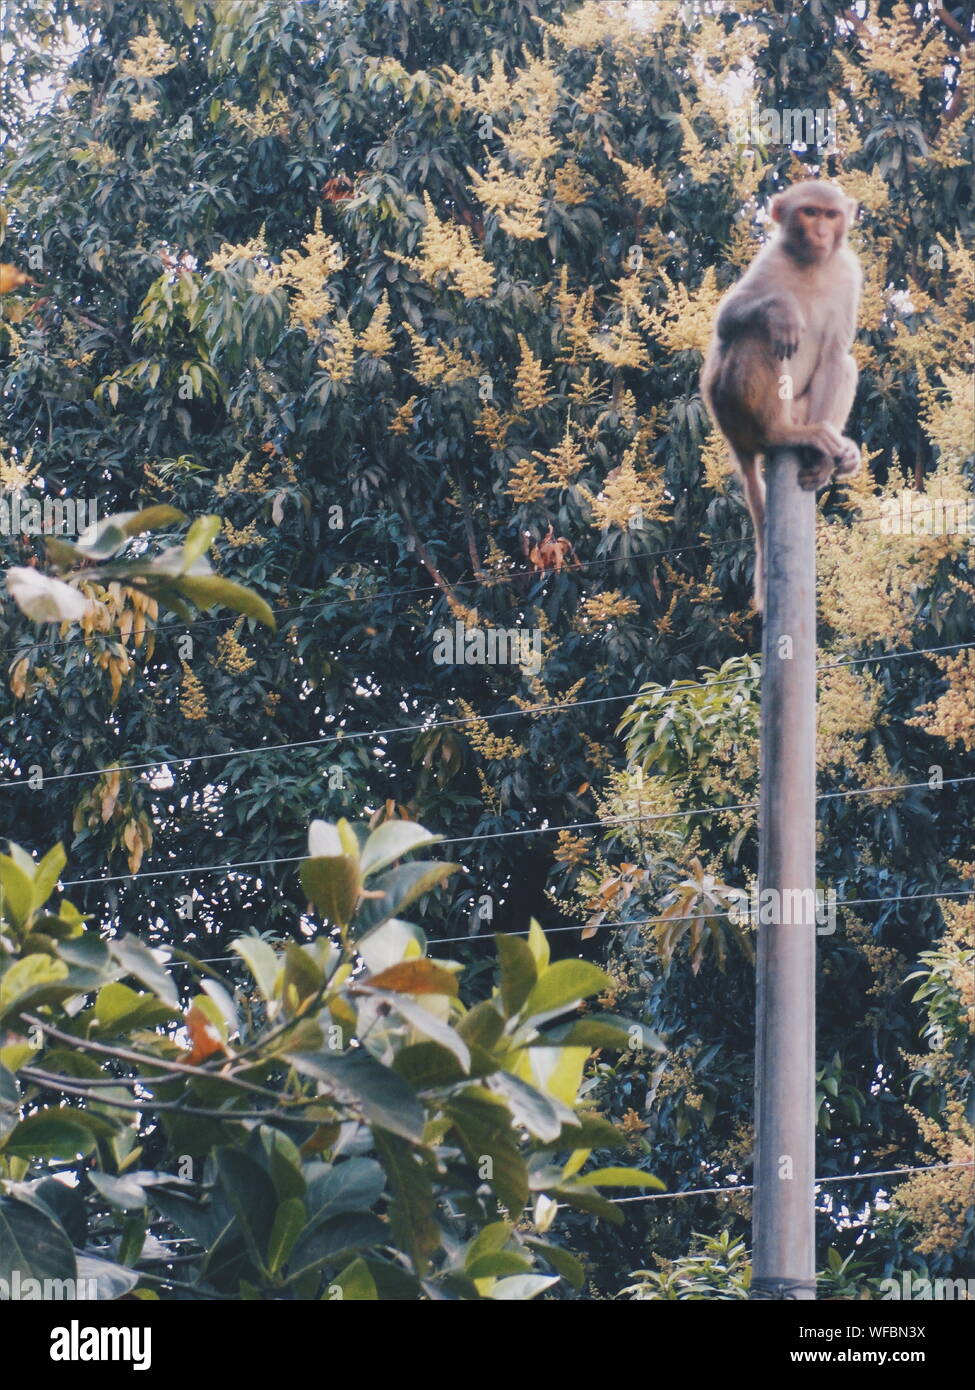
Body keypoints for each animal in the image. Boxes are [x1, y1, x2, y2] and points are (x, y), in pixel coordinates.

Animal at [700, 180, 862, 610]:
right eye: (809, 212)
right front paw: (783, 310)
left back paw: (827, 449)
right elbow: (727, 324)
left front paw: (824, 463)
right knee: (757, 335)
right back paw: (779, 433)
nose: (820, 233)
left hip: (800, 409)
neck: (811, 267)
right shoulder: (768, 262)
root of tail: (733, 438)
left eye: (830, 215)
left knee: (844, 363)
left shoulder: (848, 274)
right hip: (732, 405)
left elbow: (835, 355)